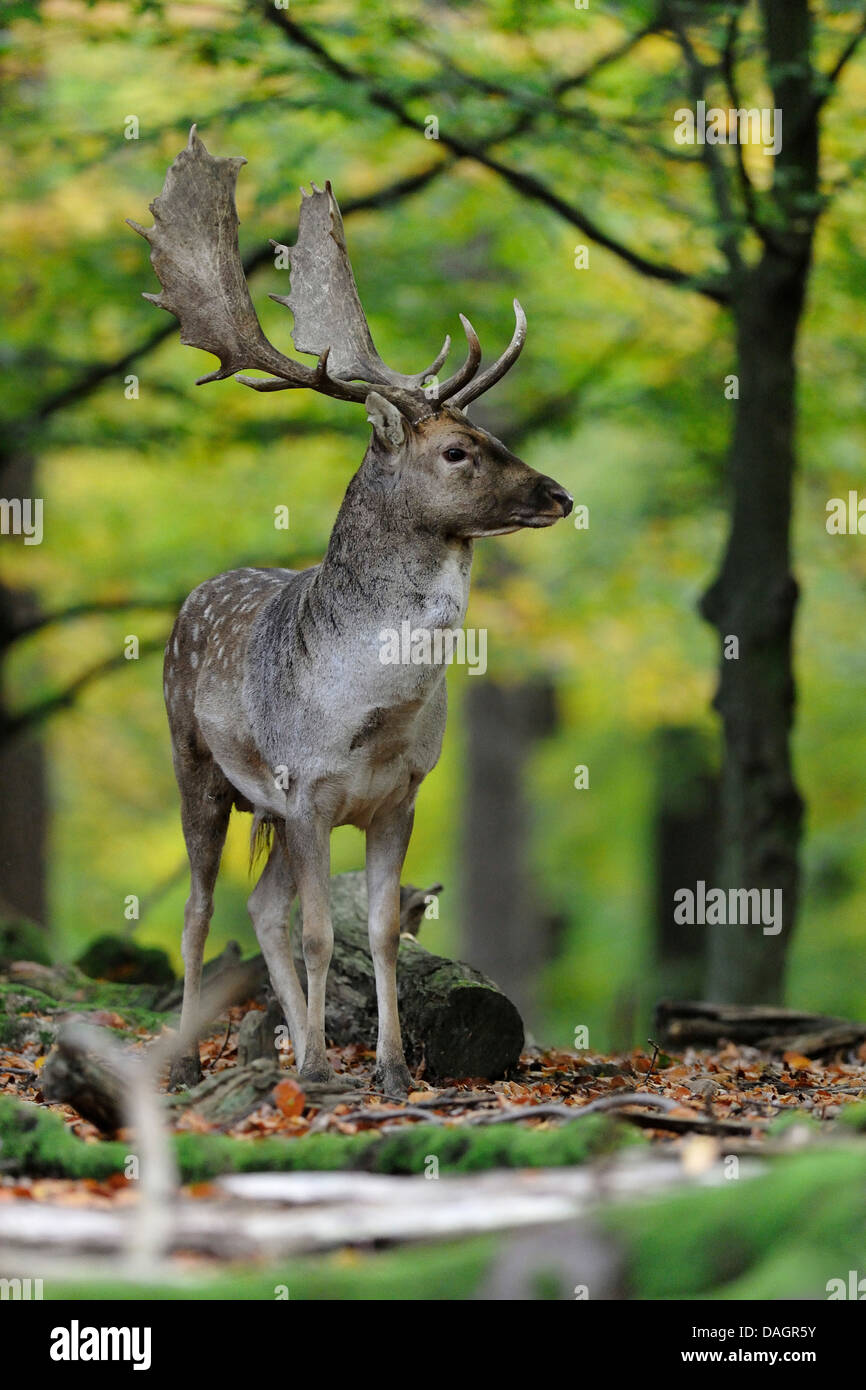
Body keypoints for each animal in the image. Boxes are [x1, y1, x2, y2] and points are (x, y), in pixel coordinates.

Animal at [128, 127, 572, 1095]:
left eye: (491, 434)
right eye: (456, 451)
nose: (557, 494)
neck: (371, 711)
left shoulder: (400, 793)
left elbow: (376, 931)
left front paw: (391, 1071)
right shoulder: (303, 789)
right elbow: (316, 930)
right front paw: (330, 1066)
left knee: (256, 905)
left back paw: (299, 1052)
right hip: (194, 761)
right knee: (199, 906)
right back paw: (190, 1062)